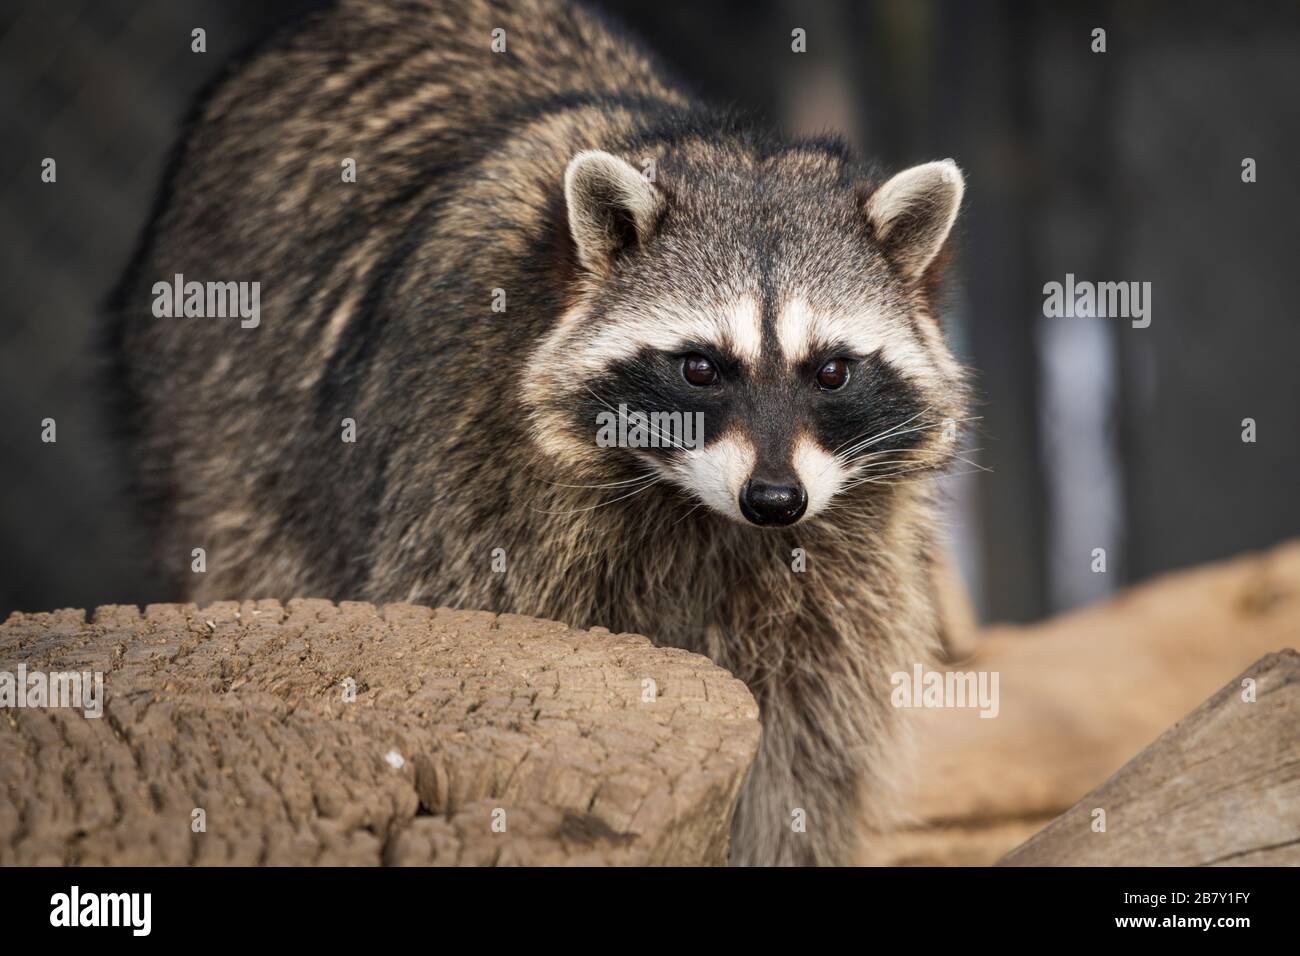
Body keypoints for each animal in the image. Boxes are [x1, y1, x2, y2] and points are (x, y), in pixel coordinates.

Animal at [109, 0, 970, 866]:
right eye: (699, 368)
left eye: (831, 372)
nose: (774, 499)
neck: (697, 513)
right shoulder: (472, 470)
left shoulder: (841, 561)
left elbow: (804, 748)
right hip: (215, 421)